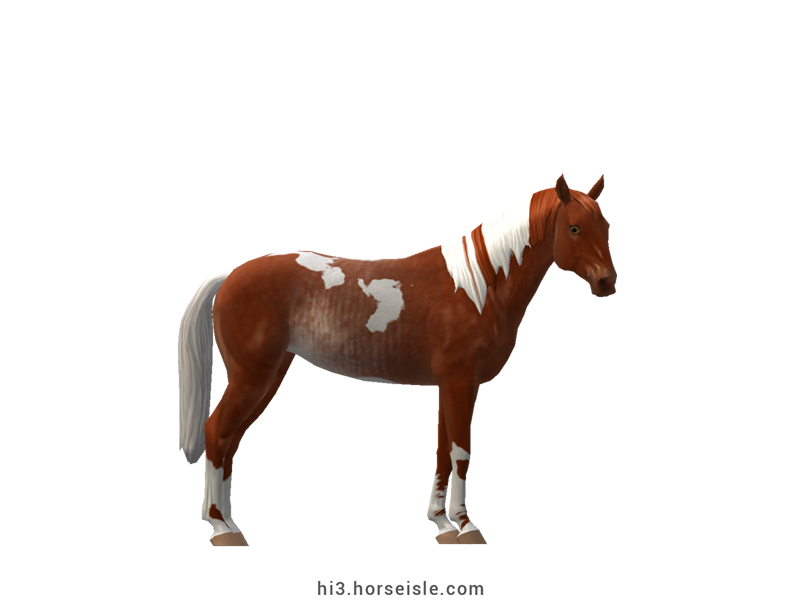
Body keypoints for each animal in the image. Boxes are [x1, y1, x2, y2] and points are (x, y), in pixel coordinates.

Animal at [178, 173, 616, 538]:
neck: (480, 287)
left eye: (602, 224)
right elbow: (461, 451)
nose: (605, 281)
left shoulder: (450, 382)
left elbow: (443, 452)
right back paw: (219, 525)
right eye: (574, 227)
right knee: (217, 434)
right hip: (249, 376)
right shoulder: (459, 378)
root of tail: (229, 278)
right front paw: (463, 522)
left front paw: (439, 519)